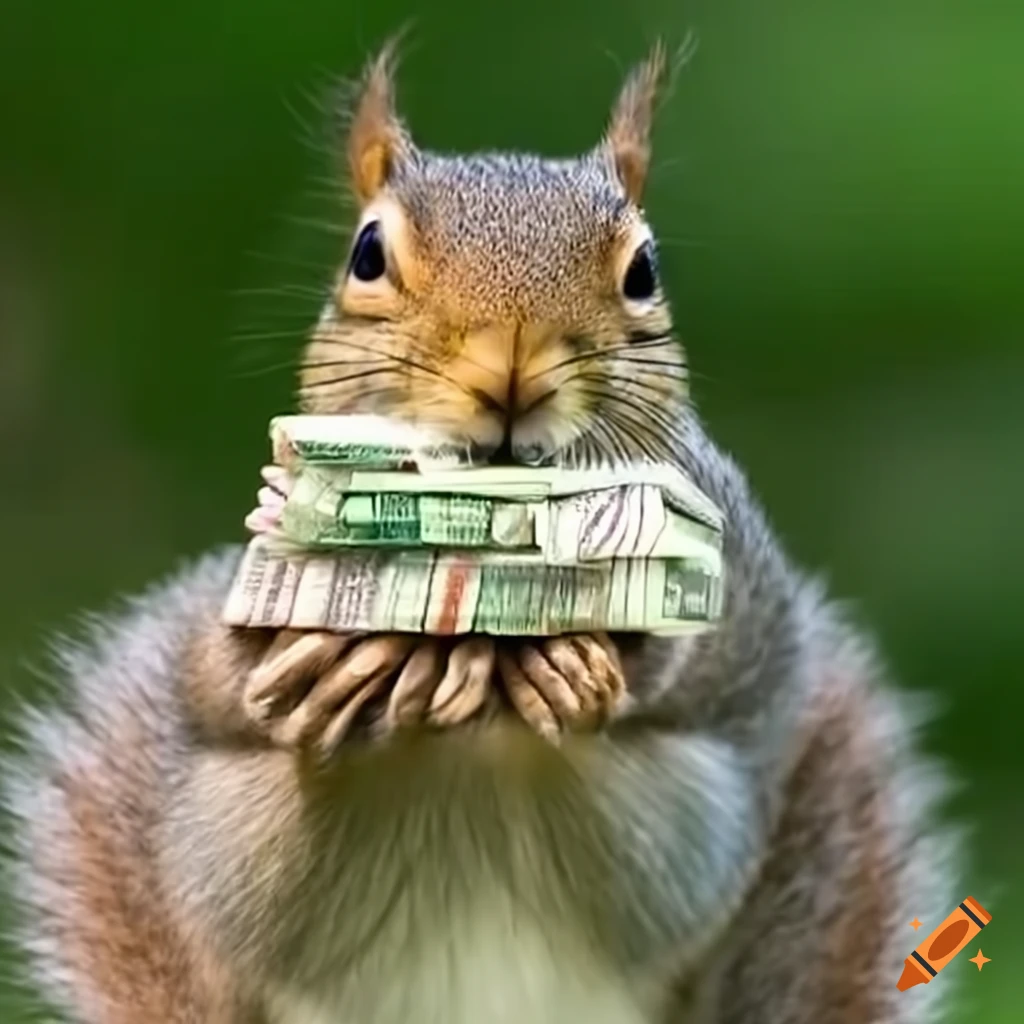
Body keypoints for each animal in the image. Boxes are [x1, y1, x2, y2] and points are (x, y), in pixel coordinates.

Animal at [1, 41, 959, 1024]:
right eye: (368, 255)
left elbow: (720, 645)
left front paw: (604, 652)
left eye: (643, 272)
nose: (511, 364)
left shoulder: (735, 554)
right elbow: (211, 677)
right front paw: (291, 660)